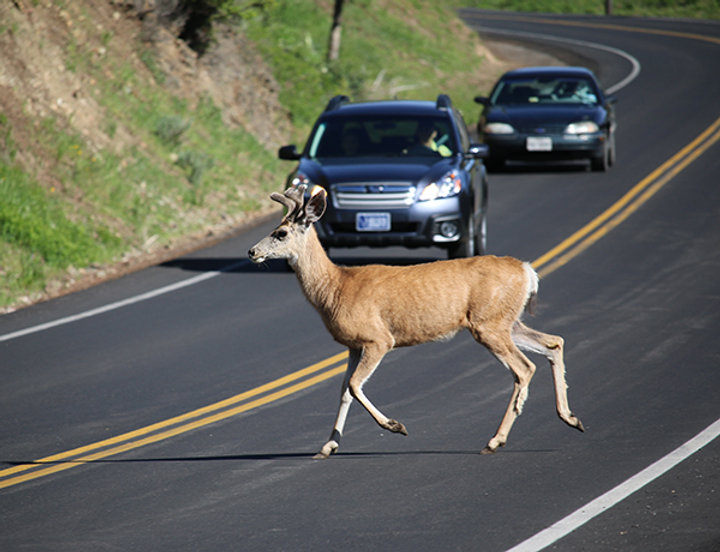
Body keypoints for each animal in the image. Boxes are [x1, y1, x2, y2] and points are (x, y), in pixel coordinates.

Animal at [248, 184, 584, 459]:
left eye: (281, 233)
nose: (252, 251)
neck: (336, 288)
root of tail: (528, 271)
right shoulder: (353, 346)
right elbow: (344, 390)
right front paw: (328, 446)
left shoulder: (378, 338)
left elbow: (355, 385)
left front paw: (395, 425)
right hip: (507, 322)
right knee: (554, 342)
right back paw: (570, 418)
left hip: (488, 325)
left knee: (524, 368)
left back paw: (495, 441)